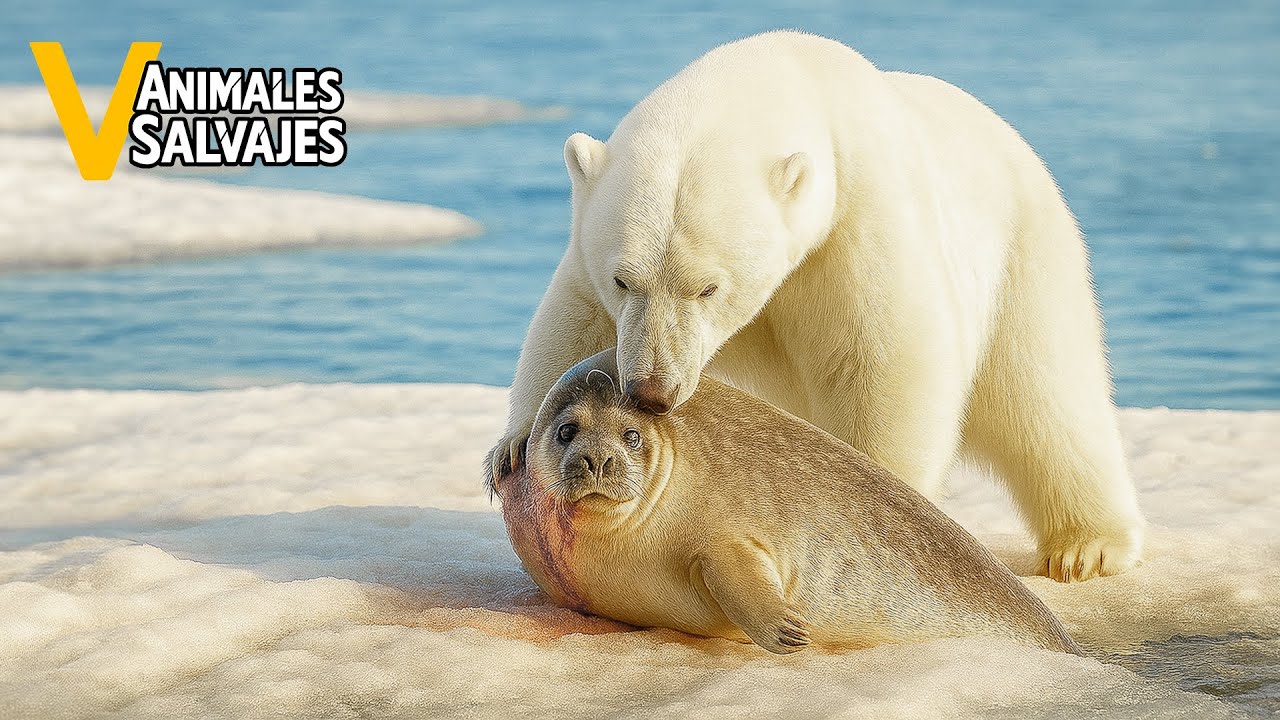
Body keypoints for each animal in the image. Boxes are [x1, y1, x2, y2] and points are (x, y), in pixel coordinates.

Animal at [487, 30, 1144, 582]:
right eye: (624, 280)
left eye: (708, 287)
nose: (651, 388)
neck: (793, 77)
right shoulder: (592, 260)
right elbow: (573, 326)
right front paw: (513, 447)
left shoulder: (857, 221)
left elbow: (887, 363)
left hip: (1024, 249)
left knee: (1046, 396)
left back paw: (1088, 548)